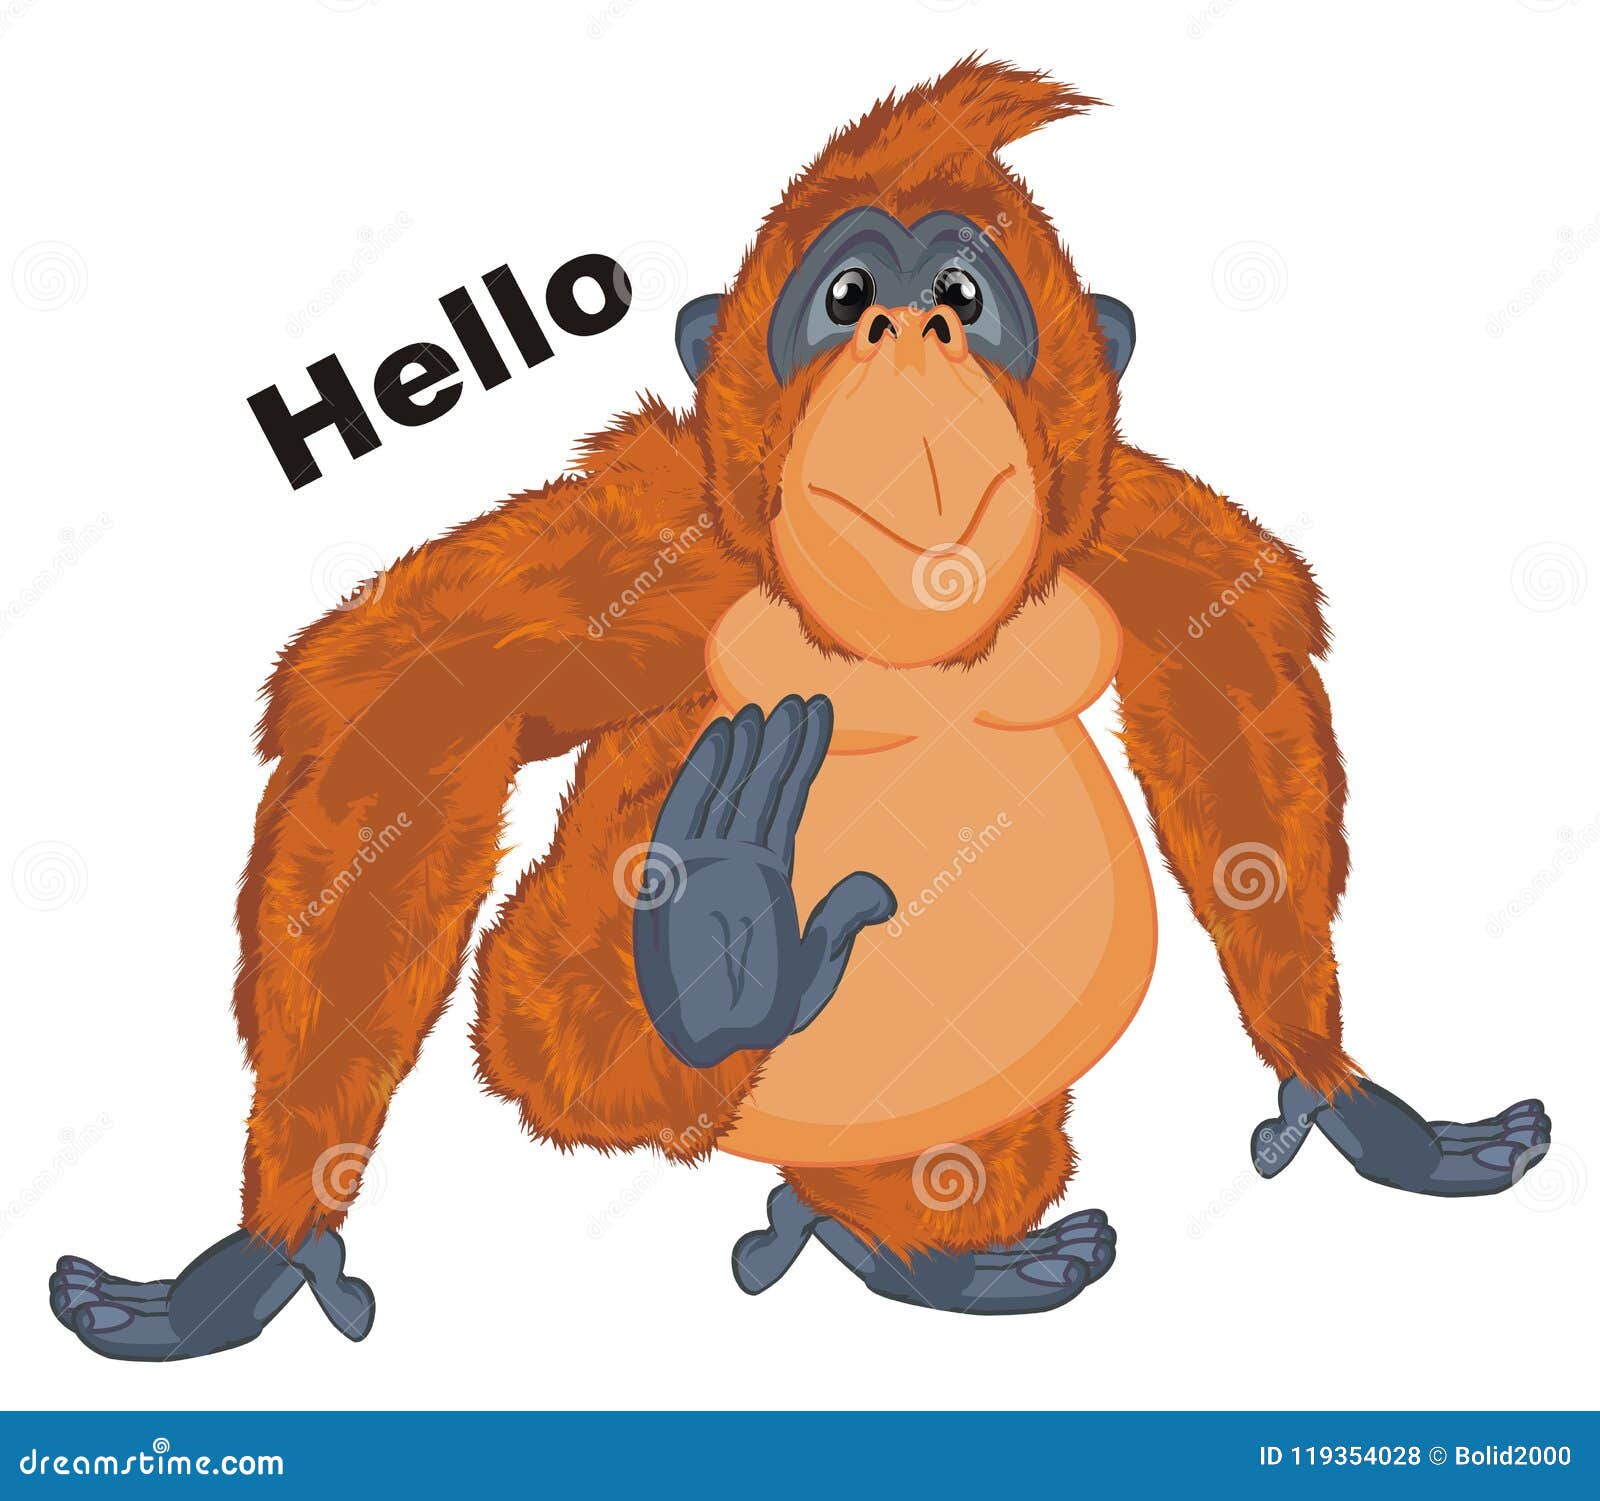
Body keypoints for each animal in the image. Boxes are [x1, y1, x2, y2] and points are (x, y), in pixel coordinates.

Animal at [50, 57, 1550, 1356]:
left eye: (963, 290)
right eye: (845, 293)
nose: (908, 332)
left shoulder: (1125, 528)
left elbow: (1228, 660)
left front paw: (1340, 1085)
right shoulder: (670, 538)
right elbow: (411, 702)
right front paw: (272, 1241)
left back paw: (900, 1229)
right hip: (577, 1031)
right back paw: (724, 967)